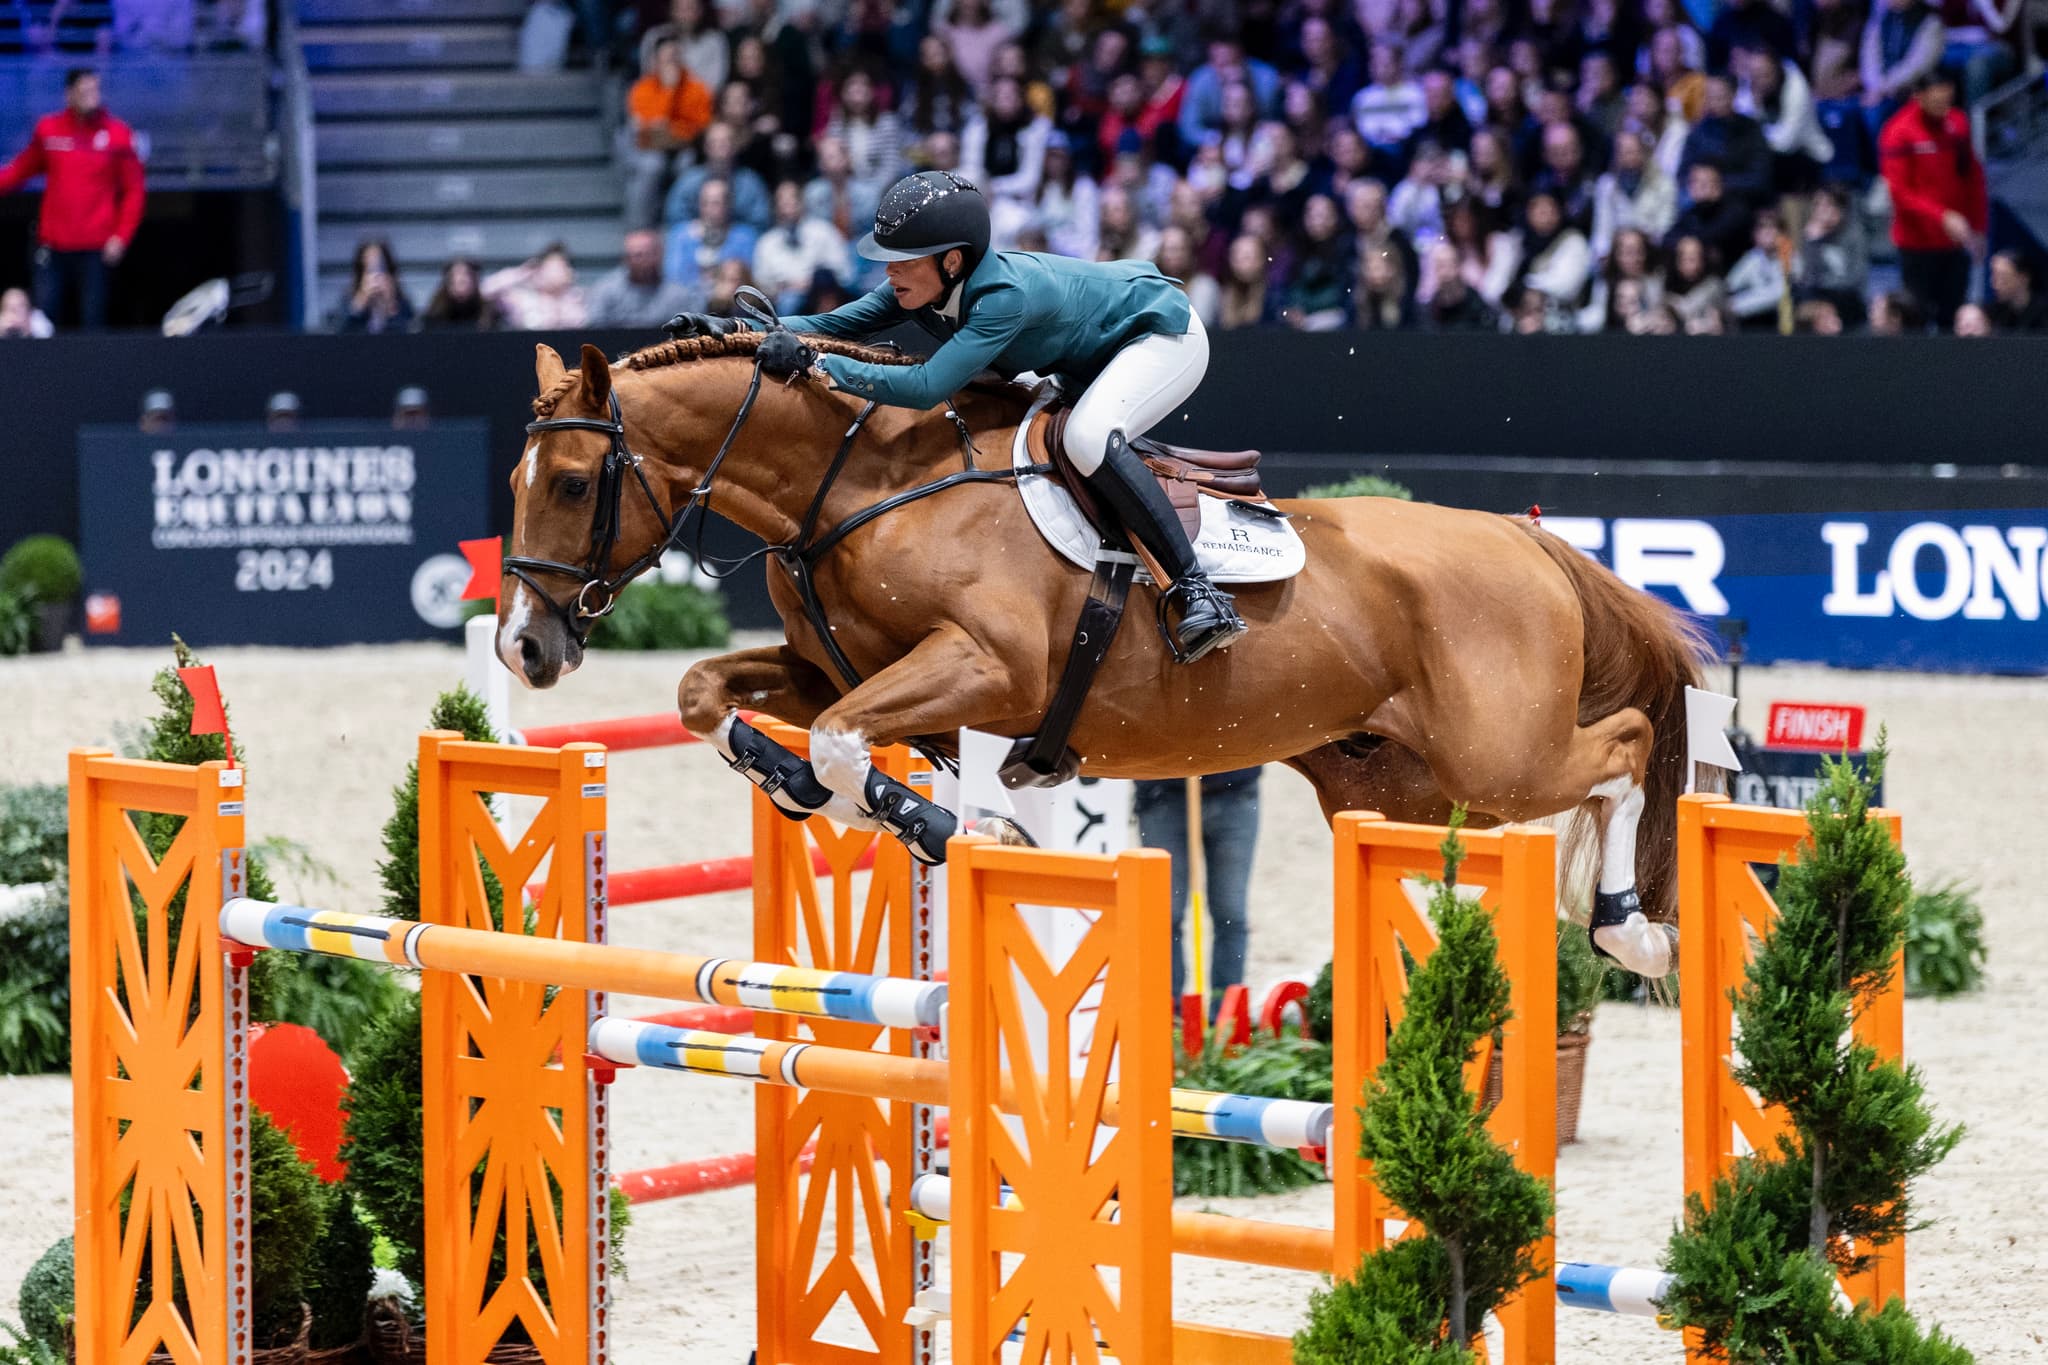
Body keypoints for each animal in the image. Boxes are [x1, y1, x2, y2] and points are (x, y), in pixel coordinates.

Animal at [496, 336, 1708, 976]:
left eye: (572, 483)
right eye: (517, 483)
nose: (524, 646)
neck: (860, 486)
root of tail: (1527, 538)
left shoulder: (988, 669)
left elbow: (847, 740)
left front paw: (943, 824)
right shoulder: (833, 670)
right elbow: (711, 693)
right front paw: (803, 784)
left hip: (1496, 754)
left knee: (1623, 745)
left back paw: (1633, 931)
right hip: (1401, 785)